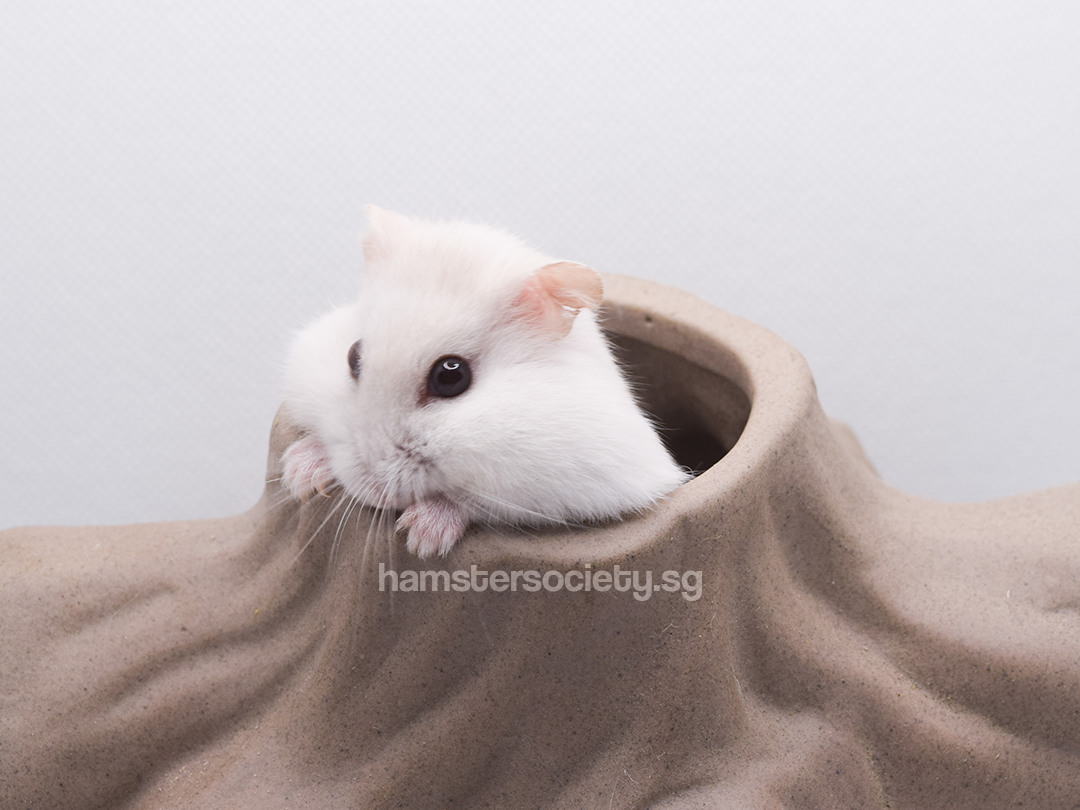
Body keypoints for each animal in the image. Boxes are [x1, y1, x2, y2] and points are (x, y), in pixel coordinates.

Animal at [280, 206, 689, 559]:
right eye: (353, 355)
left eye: (451, 375)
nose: (370, 494)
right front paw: (298, 475)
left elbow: (477, 502)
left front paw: (419, 538)